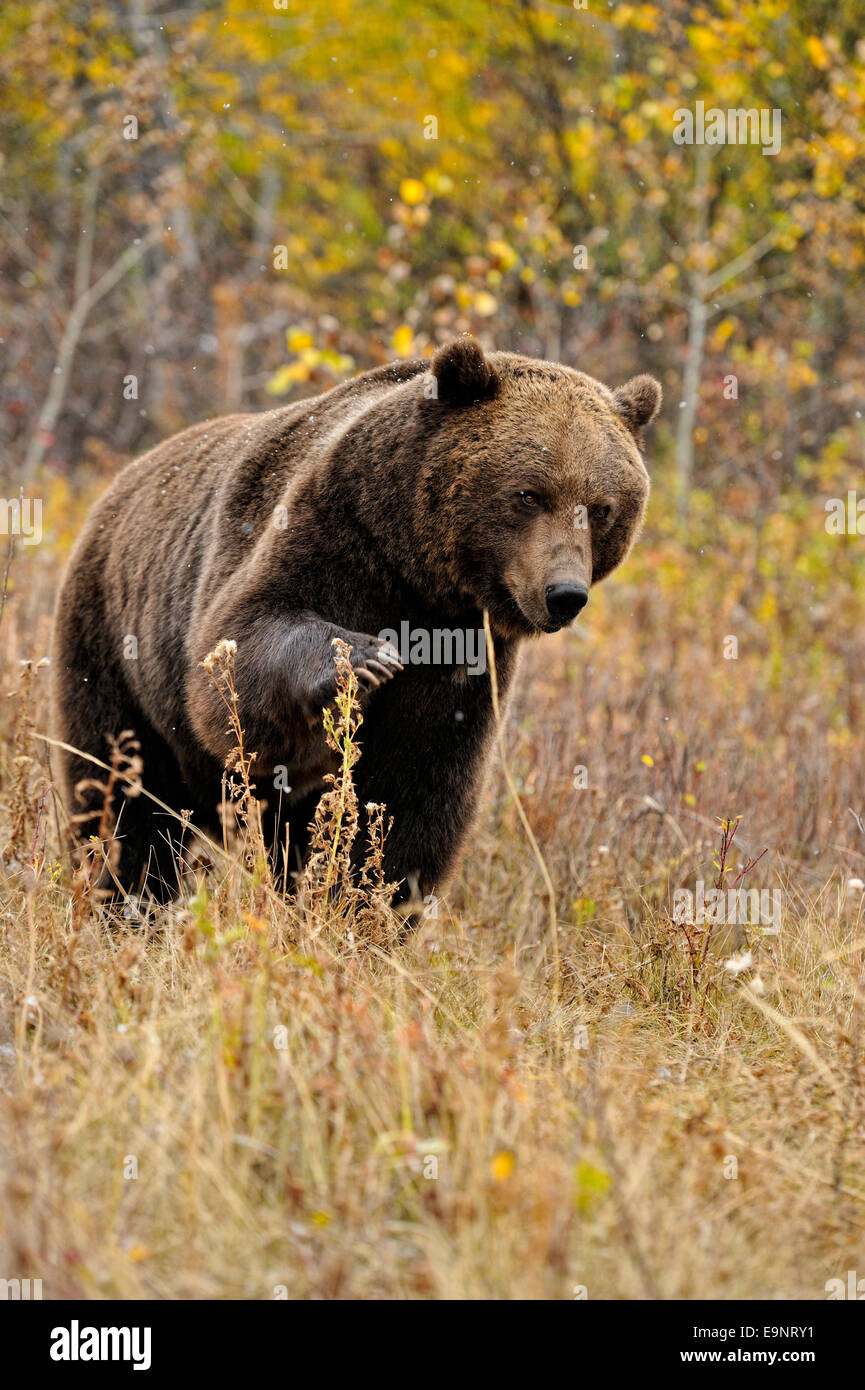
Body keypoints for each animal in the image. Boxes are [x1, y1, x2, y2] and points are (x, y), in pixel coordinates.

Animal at [50, 338, 660, 907]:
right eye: (529, 494)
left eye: (602, 508)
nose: (565, 595)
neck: (414, 568)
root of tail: (122, 482)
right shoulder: (323, 528)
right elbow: (237, 654)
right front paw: (367, 660)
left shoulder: (464, 649)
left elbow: (415, 792)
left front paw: (367, 902)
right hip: (114, 645)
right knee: (124, 797)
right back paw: (124, 898)